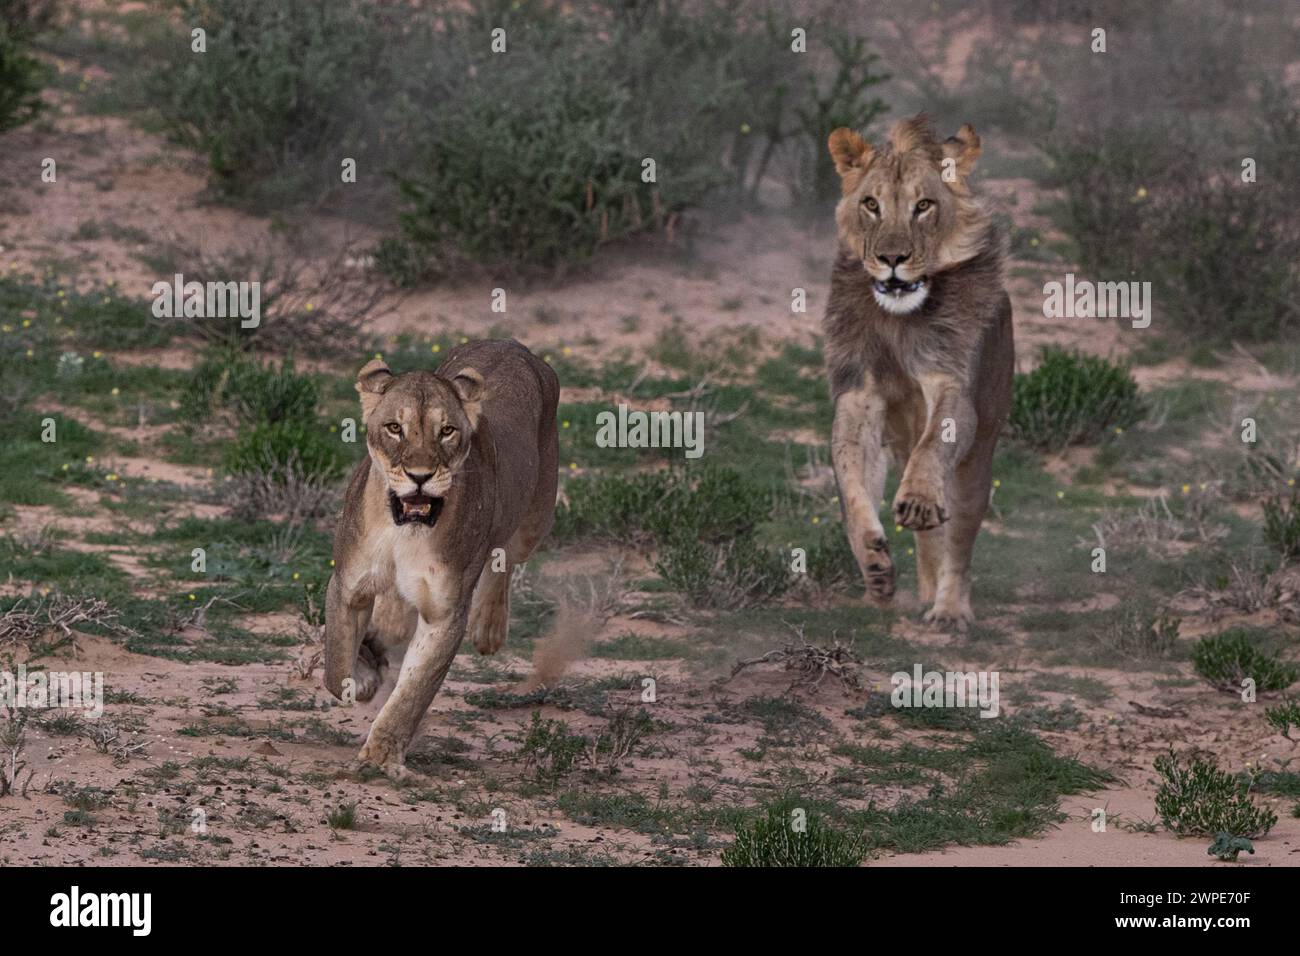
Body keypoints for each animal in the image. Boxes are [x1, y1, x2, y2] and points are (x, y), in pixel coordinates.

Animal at [323, 339, 558, 775]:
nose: (420, 477)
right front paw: (362, 676)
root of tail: (512, 344)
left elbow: (413, 693)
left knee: (505, 556)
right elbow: (336, 664)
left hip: (534, 520)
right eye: (394, 428)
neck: (405, 531)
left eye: (447, 431)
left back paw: (488, 629)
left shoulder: (445, 614)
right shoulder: (348, 584)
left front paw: (382, 756)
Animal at [822, 114, 1015, 629]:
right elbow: (849, 479)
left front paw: (921, 500)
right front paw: (873, 563)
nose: (892, 260)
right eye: (871, 205)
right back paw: (924, 589)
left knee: (960, 542)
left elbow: (933, 448)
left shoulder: (951, 385)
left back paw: (949, 610)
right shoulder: (859, 395)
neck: (898, 322)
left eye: (923, 205)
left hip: (980, 454)